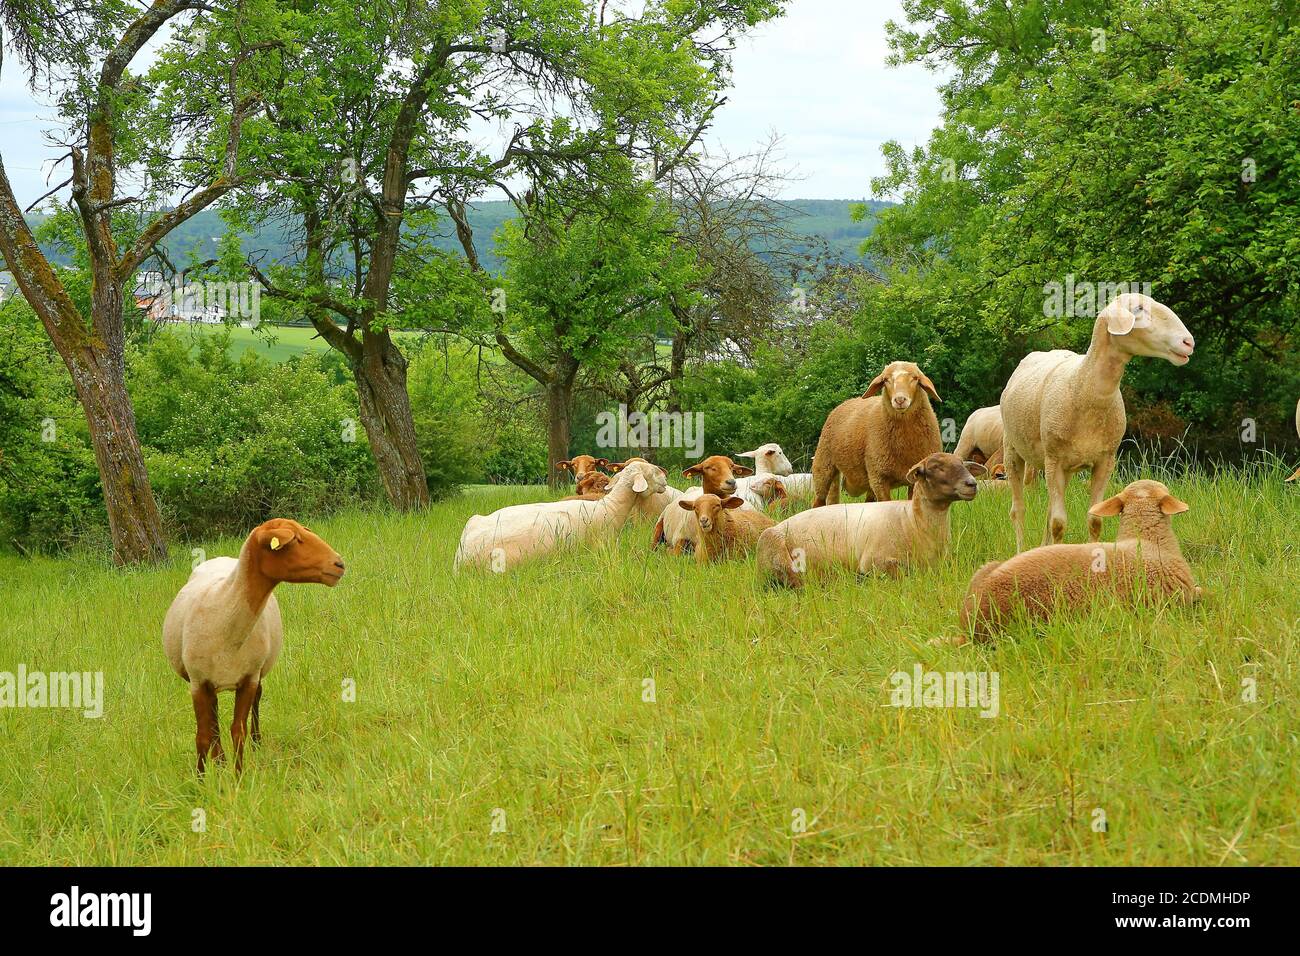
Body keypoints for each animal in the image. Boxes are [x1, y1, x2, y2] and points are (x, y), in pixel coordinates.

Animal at [162, 518, 345, 774]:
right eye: (295, 539)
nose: (339, 564)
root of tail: (220, 559)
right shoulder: (198, 682)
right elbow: (202, 737)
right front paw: (201, 779)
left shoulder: (248, 678)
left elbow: (238, 731)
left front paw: (238, 777)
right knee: (214, 721)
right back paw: (219, 760)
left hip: (258, 671)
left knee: (255, 702)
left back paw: (254, 745)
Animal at [759, 452, 978, 588]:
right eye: (936, 467)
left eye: (963, 464)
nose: (972, 483)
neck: (912, 521)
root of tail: (779, 525)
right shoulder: (875, 562)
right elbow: (903, 576)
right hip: (777, 553)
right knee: (795, 581)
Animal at [811, 361, 943, 507]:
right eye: (886, 380)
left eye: (915, 378)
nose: (900, 400)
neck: (905, 444)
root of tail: (843, 403)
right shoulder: (879, 478)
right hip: (823, 465)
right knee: (817, 502)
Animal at [1000, 293, 1194, 551]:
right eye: (1138, 309)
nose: (1188, 342)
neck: (1083, 385)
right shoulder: (1054, 459)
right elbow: (1059, 524)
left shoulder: (1105, 461)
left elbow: (1094, 519)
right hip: (1013, 449)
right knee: (1018, 510)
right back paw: (1021, 550)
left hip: (1063, 467)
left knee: (1049, 508)